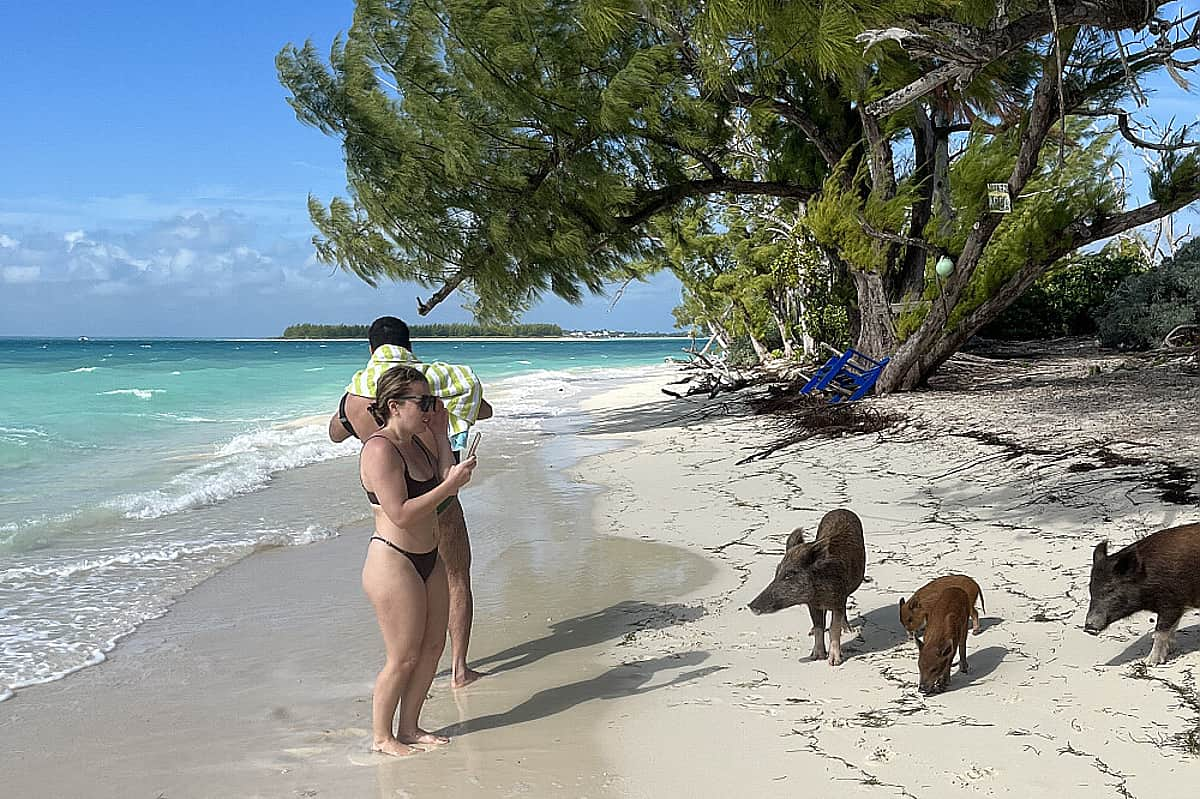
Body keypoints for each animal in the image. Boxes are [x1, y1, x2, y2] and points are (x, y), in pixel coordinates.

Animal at [748, 506, 864, 662]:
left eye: (789, 574)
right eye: (777, 572)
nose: (750, 605)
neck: (819, 594)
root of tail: (840, 509)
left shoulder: (838, 599)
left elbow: (834, 628)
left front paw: (834, 662)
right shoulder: (812, 604)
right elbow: (819, 626)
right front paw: (815, 656)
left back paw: (848, 630)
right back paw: (811, 632)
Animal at [1084, 520, 1200, 662]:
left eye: (1110, 589)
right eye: (1091, 589)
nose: (1088, 626)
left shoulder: (1172, 603)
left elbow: (1160, 630)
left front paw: (1149, 662)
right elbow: (1171, 628)